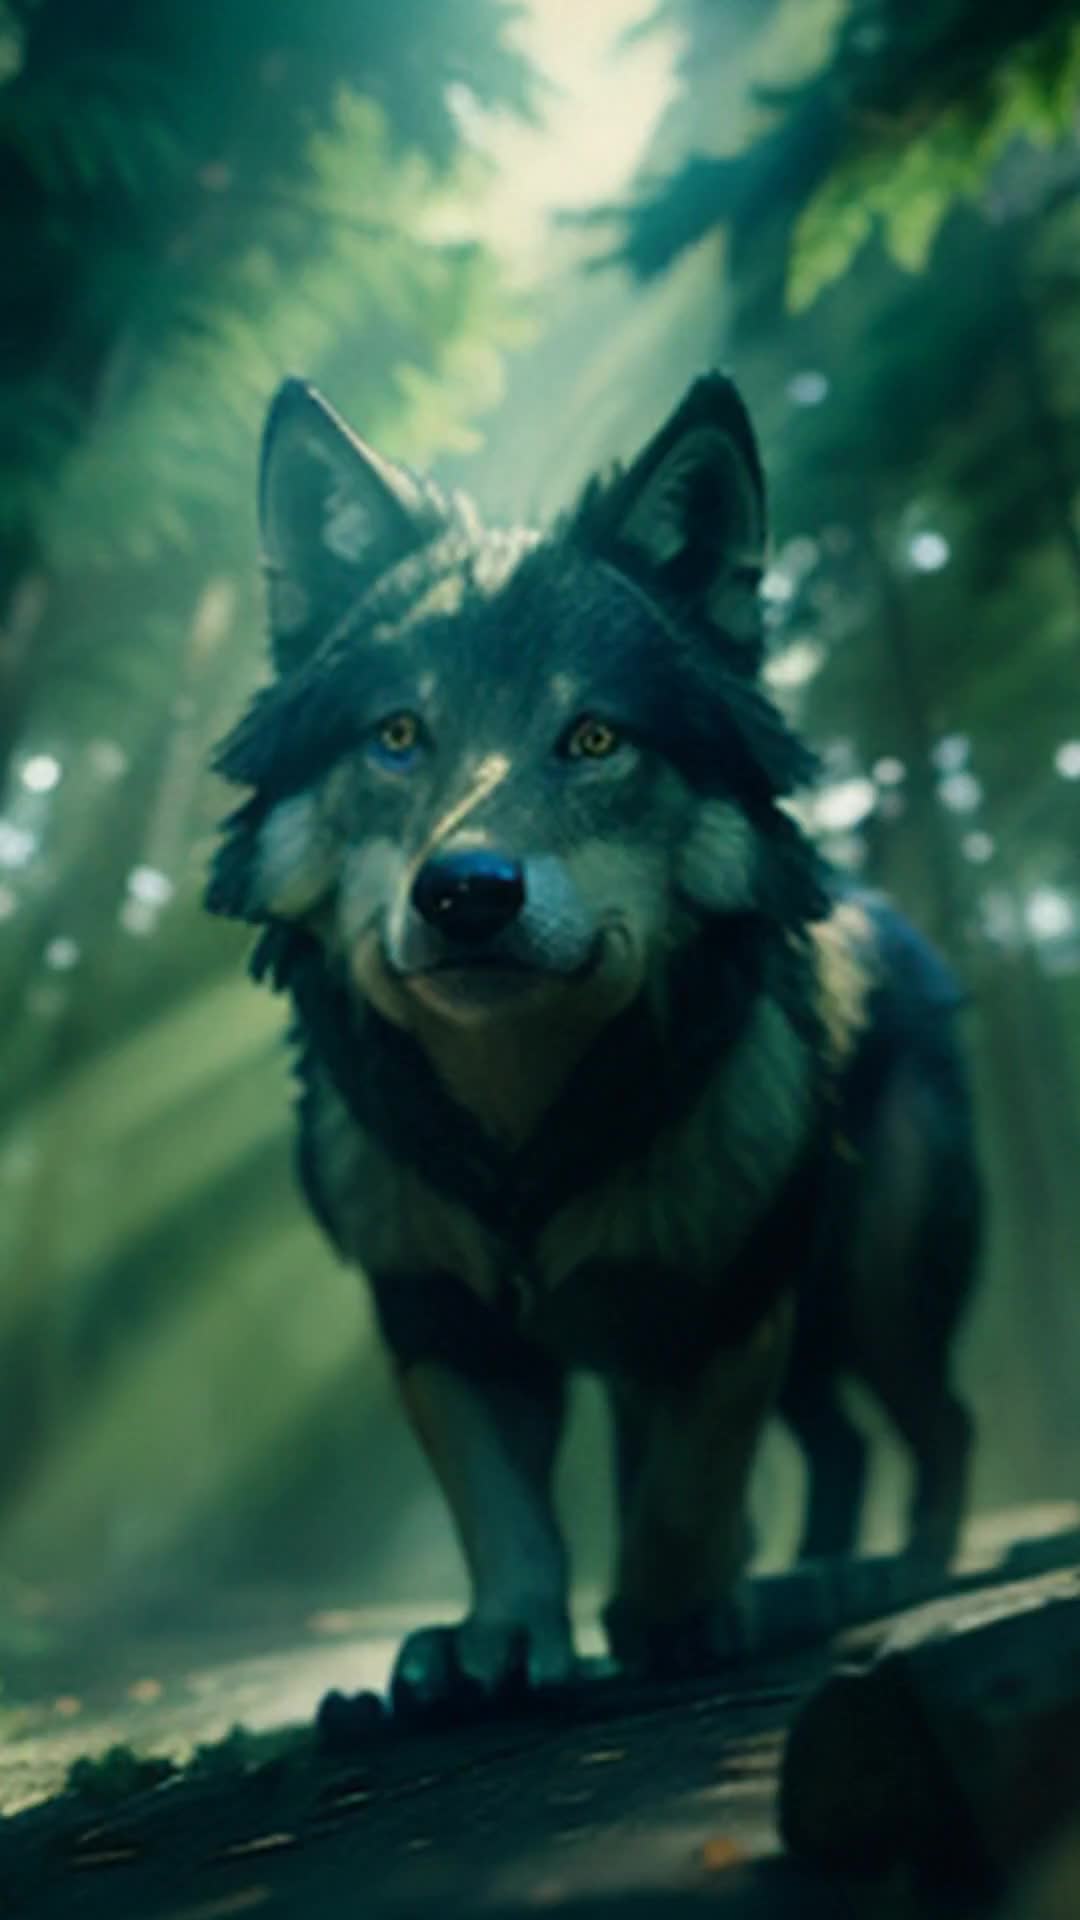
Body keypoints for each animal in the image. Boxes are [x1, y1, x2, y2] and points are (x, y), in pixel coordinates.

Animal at [207, 373, 980, 1706]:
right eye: (398, 736)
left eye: (595, 739)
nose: (466, 893)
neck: (522, 1130)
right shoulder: (438, 1316)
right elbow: (504, 1509)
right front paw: (501, 1644)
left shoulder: (722, 1303)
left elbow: (682, 1492)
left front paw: (672, 1618)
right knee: (839, 1445)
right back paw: (811, 1574)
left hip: (877, 1296)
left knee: (941, 1429)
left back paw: (885, 1574)